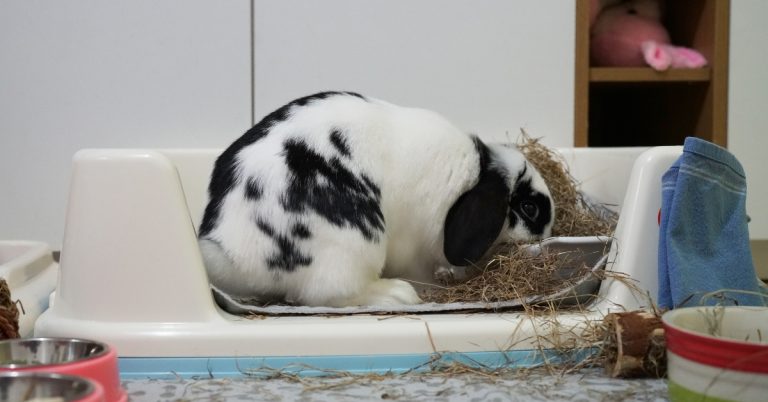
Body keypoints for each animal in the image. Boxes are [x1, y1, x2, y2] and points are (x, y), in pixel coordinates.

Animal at [198, 91, 554, 307]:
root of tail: (233, 253)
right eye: (529, 208)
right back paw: (398, 294)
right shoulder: (416, 246)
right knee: (331, 293)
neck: (473, 176)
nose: (548, 234)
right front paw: (438, 286)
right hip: (352, 242)